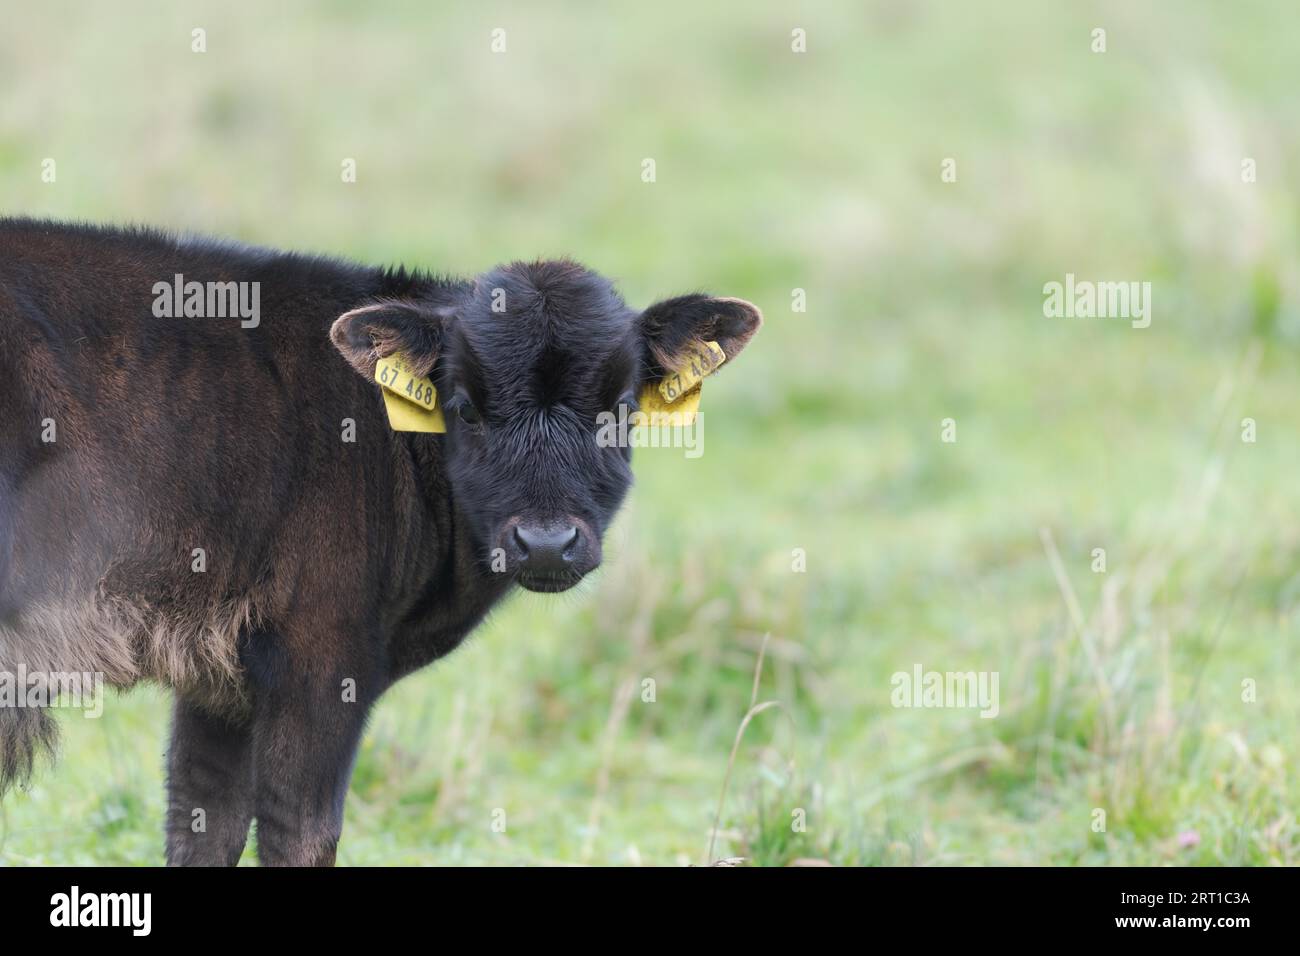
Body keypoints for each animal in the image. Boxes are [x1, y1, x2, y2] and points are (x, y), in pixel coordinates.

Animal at [0, 217, 761, 865]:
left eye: (621, 407)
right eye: (464, 406)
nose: (546, 544)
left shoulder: (219, 679)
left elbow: (202, 826)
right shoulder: (320, 656)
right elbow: (299, 833)